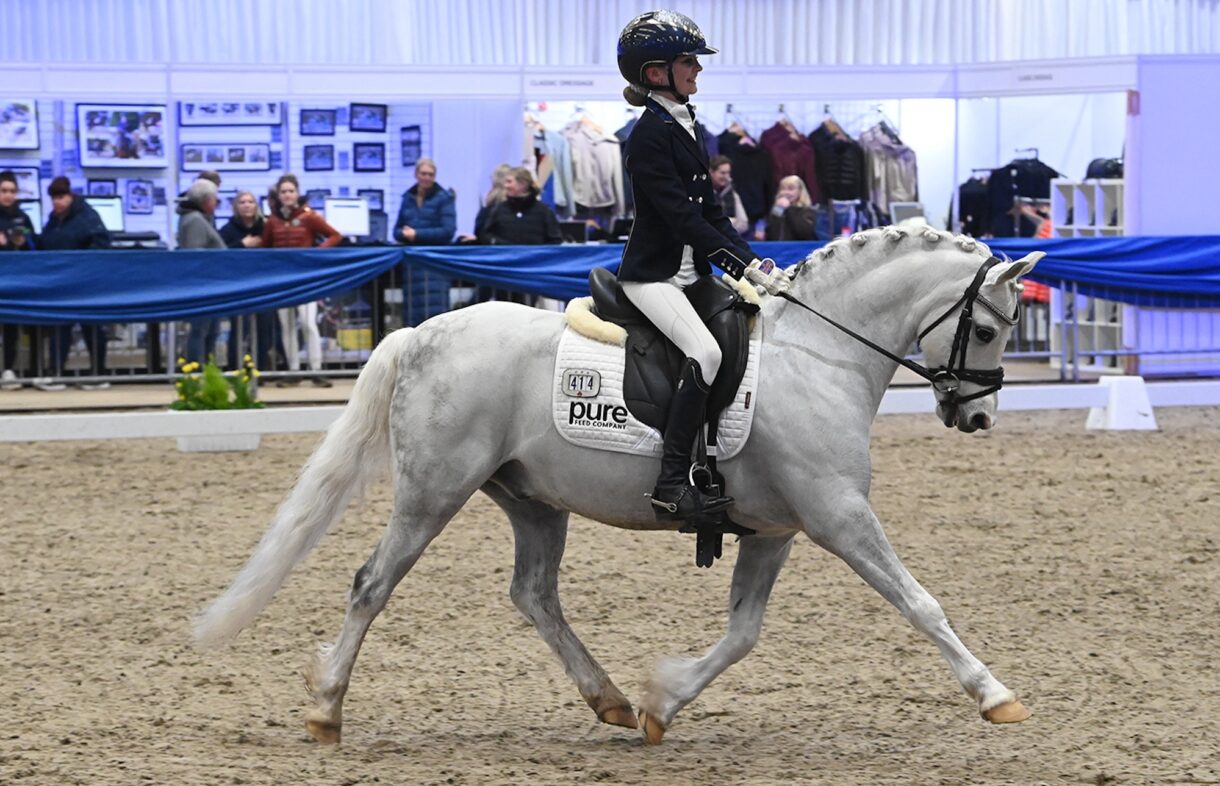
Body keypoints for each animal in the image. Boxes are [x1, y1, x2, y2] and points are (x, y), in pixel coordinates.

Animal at [194, 225, 1044, 745]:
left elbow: (743, 633)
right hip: (433, 493)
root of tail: (422, 332)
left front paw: (662, 702)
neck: (819, 352)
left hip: (532, 500)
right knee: (372, 584)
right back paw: (325, 709)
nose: (977, 417)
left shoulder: (775, 530)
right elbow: (921, 603)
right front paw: (995, 694)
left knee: (534, 594)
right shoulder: (839, 515)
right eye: (989, 328)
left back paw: (605, 697)